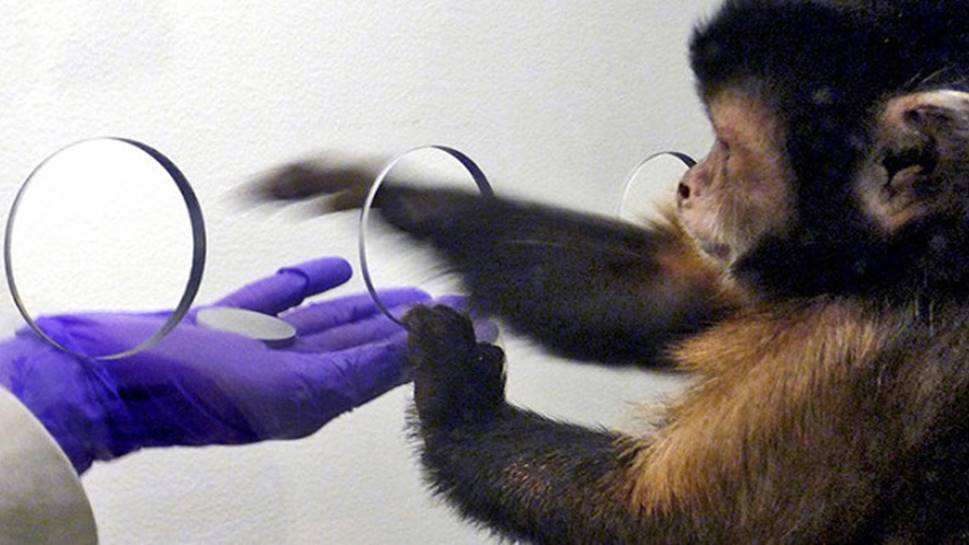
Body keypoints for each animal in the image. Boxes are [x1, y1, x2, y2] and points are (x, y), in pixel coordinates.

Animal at [252, 1, 969, 542]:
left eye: (726, 147)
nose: (686, 184)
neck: (915, 260)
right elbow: (658, 291)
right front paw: (389, 195)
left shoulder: (876, 343)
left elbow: (681, 527)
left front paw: (454, 387)